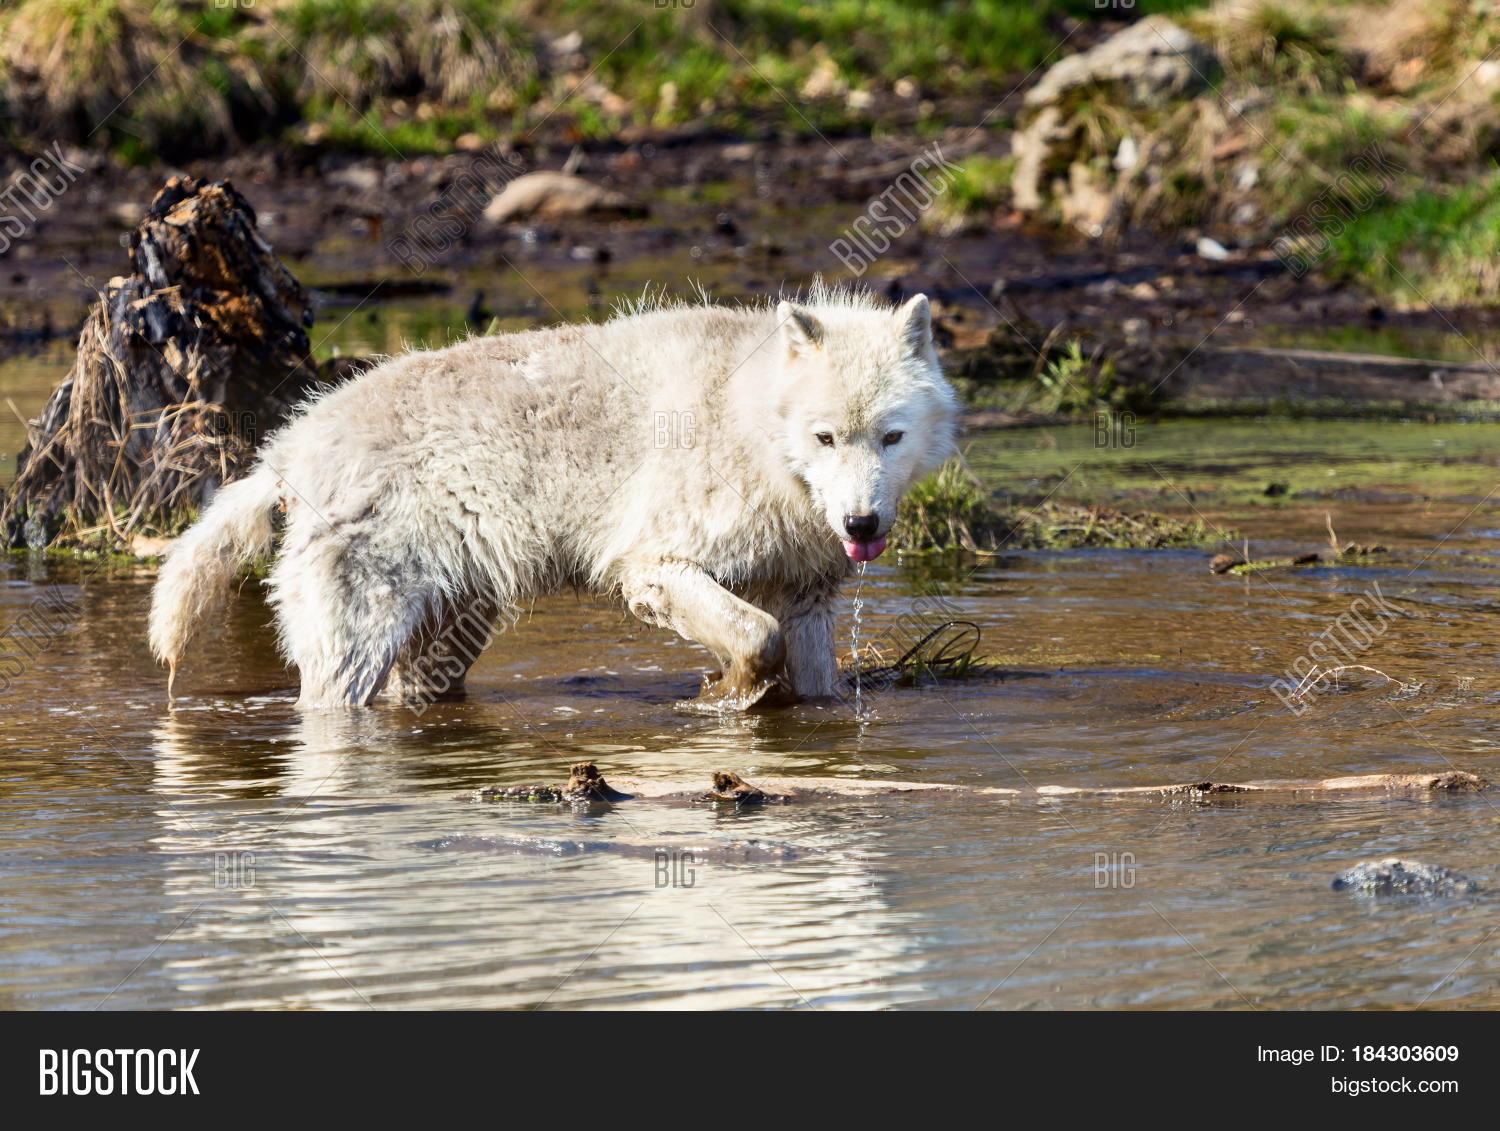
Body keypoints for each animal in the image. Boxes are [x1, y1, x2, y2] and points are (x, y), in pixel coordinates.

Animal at [149, 288, 959, 709]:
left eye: (890, 437)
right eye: (825, 437)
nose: (861, 522)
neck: (749, 419)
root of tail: (286, 449)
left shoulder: (809, 596)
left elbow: (815, 685)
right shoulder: (651, 565)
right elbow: (756, 637)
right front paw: (724, 695)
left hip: (451, 631)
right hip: (357, 640)